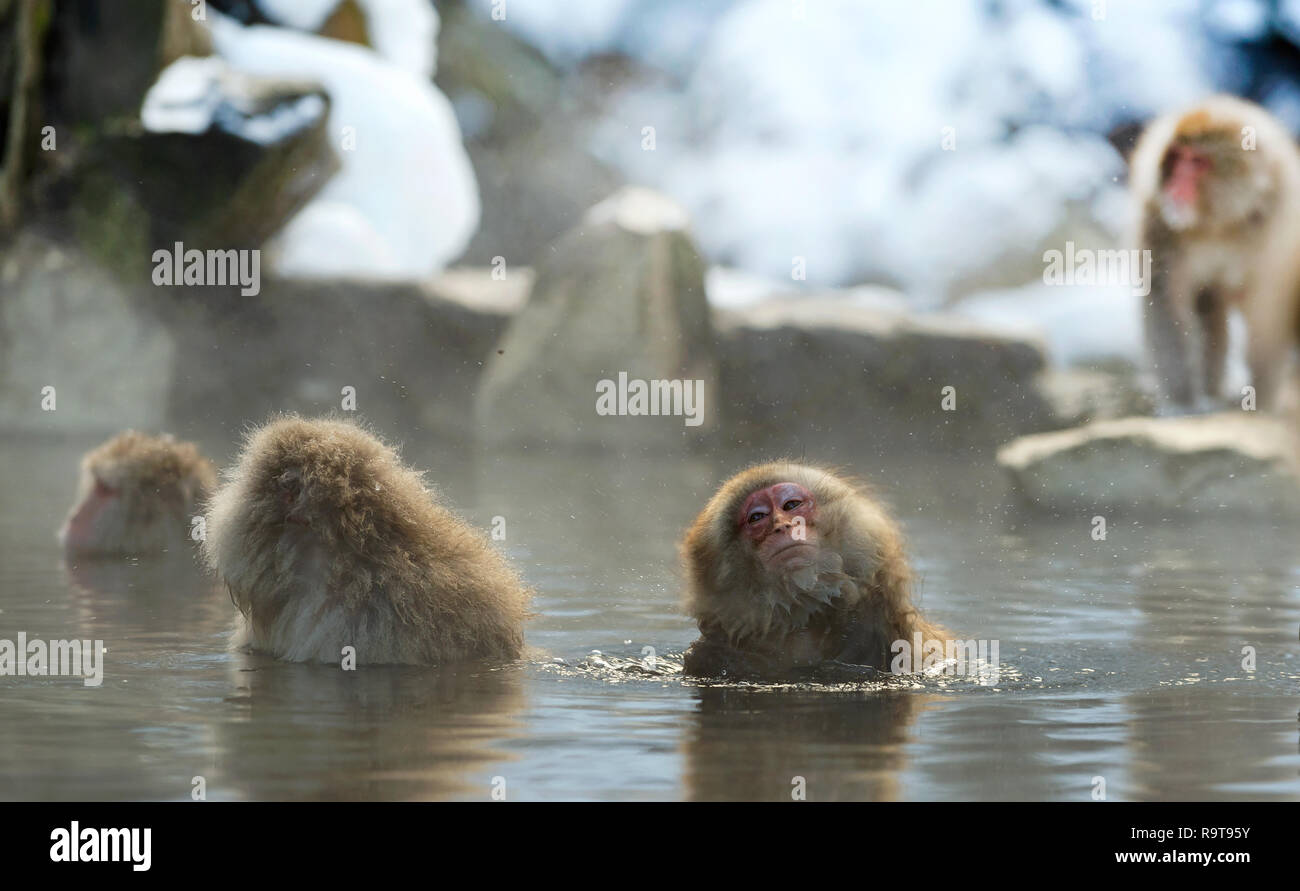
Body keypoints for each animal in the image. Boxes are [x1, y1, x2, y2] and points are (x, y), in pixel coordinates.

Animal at [1131, 95, 1300, 411]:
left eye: (1197, 162)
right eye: (1177, 156)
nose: (1174, 186)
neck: (1220, 223)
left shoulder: (1276, 232)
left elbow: (1266, 310)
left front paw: (1261, 399)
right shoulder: (1157, 219)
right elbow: (1164, 299)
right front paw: (1181, 402)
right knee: (1210, 307)